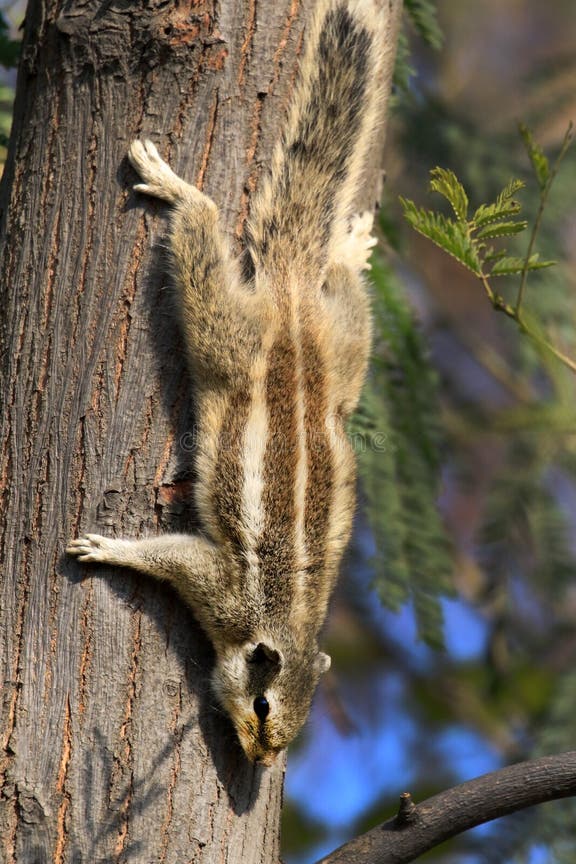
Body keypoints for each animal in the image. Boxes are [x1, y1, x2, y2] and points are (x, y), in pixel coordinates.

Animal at [68, 0, 389, 766]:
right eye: (264, 706)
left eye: (299, 722)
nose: (264, 759)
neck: (280, 620)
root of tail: (292, 295)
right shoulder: (219, 586)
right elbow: (169, 556)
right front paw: (111, 550)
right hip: (227, 336)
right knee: (203, 233)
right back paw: (180, 190)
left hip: (347, 347)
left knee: (343, 290)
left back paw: (347, 246)